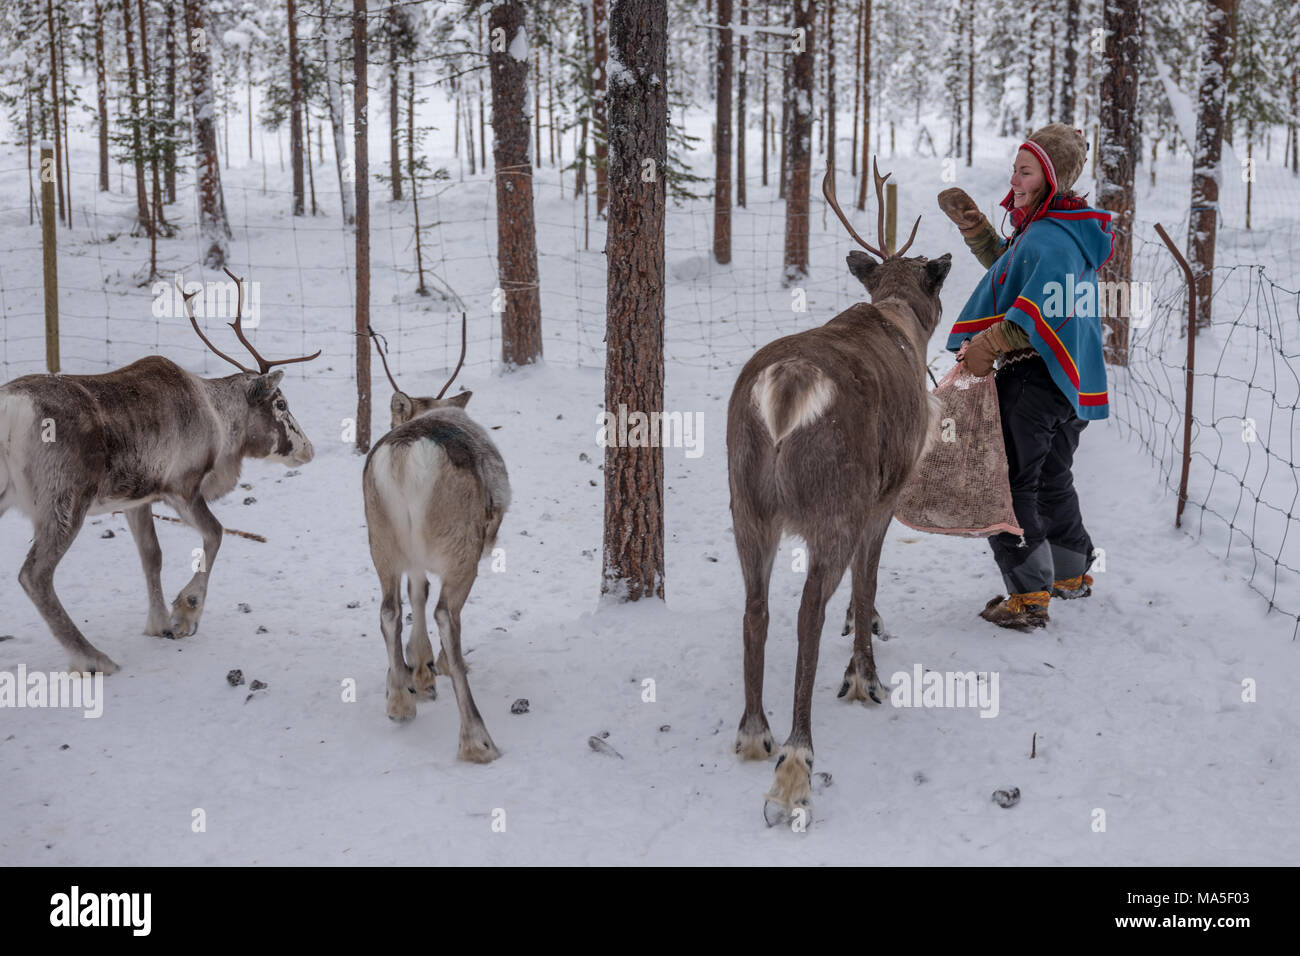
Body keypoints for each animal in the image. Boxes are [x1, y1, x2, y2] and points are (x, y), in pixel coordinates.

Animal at [0, 270, 319, 676]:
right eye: (281, 403)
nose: (309, 449)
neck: (219, 420)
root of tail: (10, 410)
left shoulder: (137, 497)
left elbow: (152, 554)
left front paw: (158, 623)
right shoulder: (182, 486)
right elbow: (215, 533)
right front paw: (185, 612)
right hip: (65, 499)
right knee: (35, 574)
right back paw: (93, 658)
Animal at [362, 317, 510, 763]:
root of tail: (403, 458)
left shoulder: (411, 558)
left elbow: (417, 594)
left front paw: (418, 673)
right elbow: (431, 601)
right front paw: (431, 669)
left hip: (381, 538)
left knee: (389, 609)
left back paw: (399, 702)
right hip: (460, 548)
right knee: (447, 614)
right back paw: (477, 739)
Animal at [726, 160, 952, 825]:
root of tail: (785, 386)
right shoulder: (885, 496)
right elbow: (867, 579)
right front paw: (863, 678)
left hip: (747, 503)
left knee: (756, 608)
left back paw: (755, 733)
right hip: (835, 506)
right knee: (807, 613)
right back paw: (796, 760)